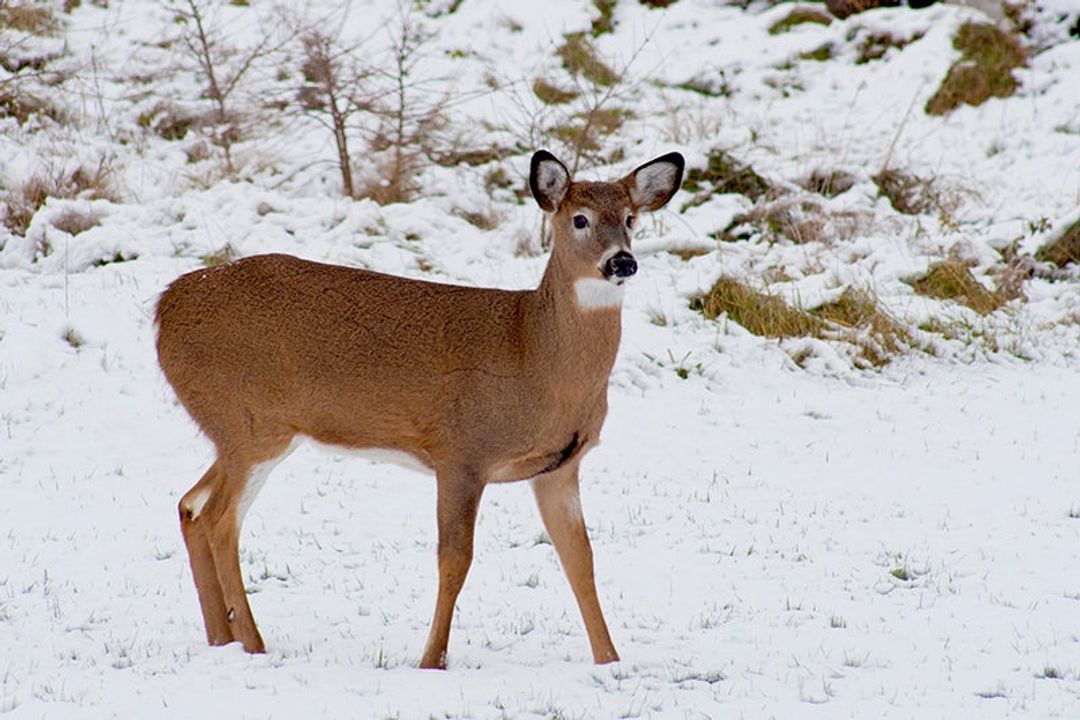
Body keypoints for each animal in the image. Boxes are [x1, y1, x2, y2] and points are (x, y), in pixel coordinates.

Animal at [154, 149, 684, 669]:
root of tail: (165, 307)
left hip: (238, 432)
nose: (621, 262)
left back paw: (222, 637)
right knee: (220, 520)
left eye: (631, 219)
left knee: (190, 506)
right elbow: (455, 560)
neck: (534, 355)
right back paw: (253, 643)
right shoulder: (461, 452)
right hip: (250, 426)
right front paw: (431, 660)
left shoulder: (559, 467)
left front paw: (610, 660)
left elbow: (580, 558)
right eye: (579, 219)